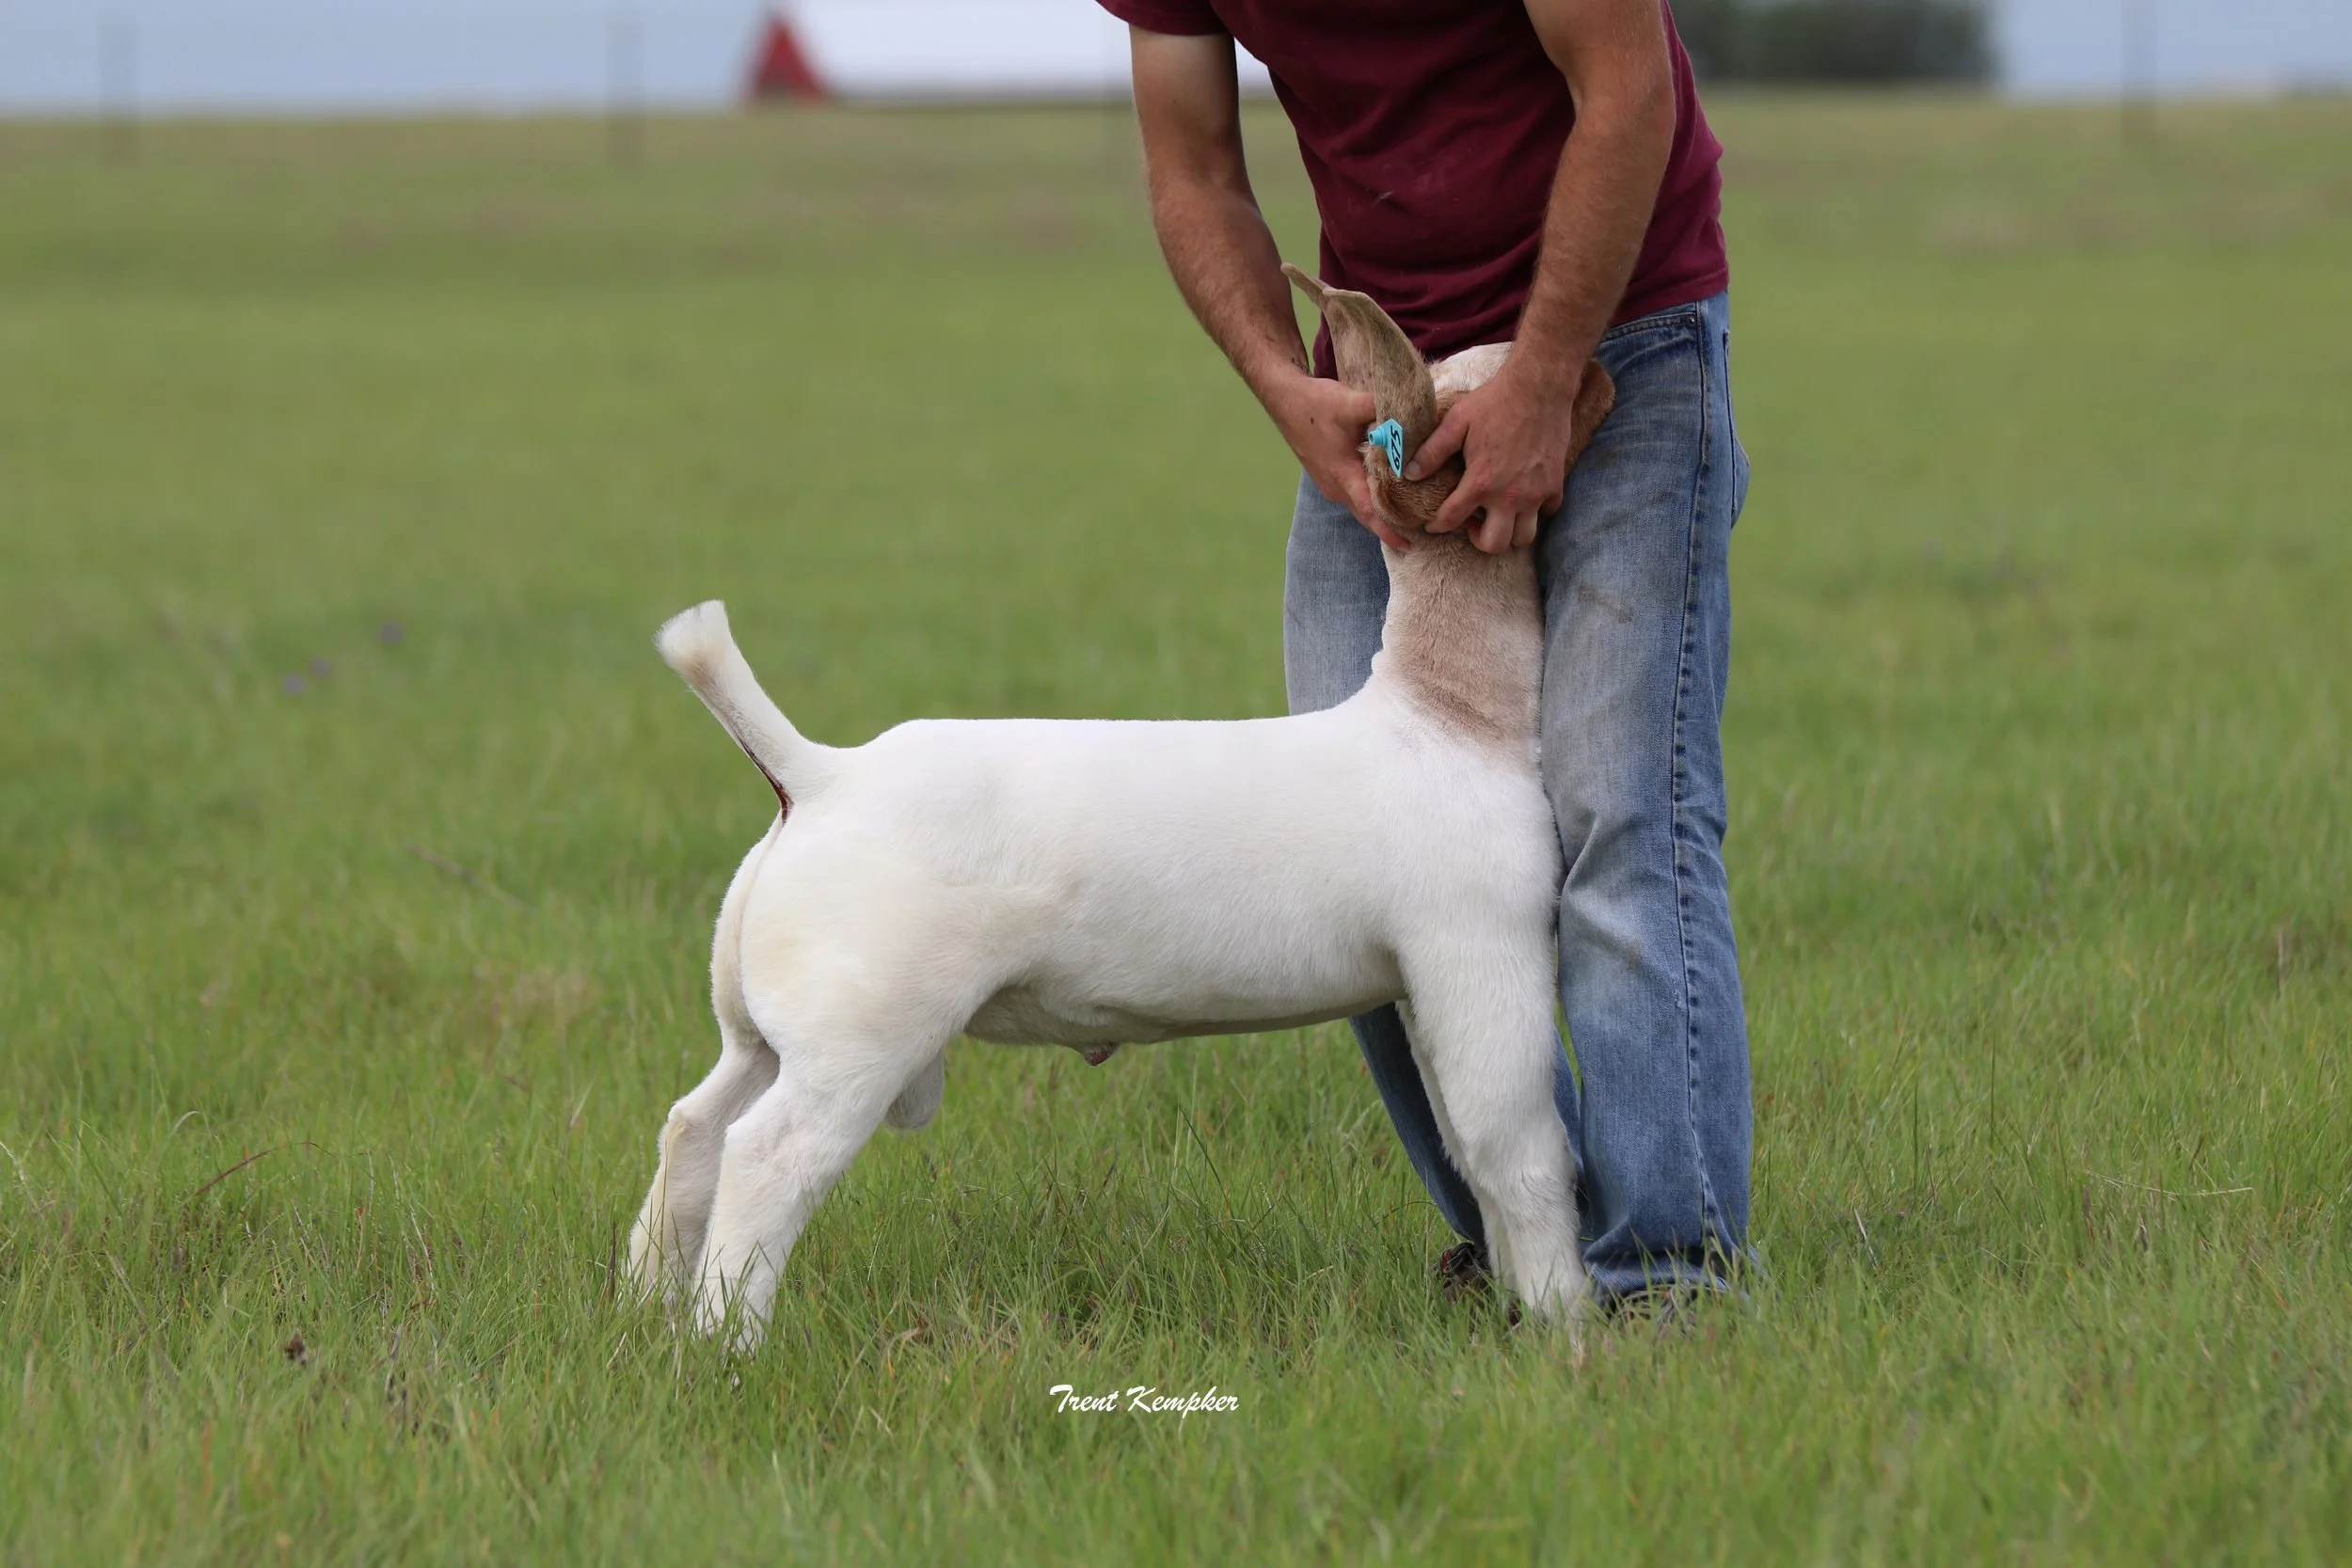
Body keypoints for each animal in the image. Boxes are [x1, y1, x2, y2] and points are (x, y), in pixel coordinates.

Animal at [628, 268, 1616, 1347]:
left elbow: (1472, 1151)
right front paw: (1568, 1328)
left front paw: (1527, 1311)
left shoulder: (1426, 984)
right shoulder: (1484, 953)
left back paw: (643, 1312)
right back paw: (726, 1342)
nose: (1602, 367)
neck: (1446, 712)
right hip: (853, 1038)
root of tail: (819, 773)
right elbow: (1520, 1152)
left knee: (693, 1127)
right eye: (1498, 389)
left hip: (762, 1031)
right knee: (767, 1155)